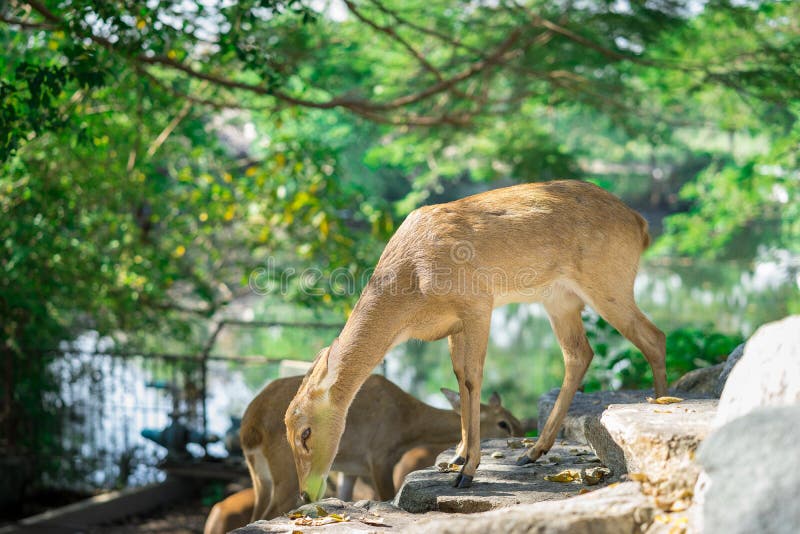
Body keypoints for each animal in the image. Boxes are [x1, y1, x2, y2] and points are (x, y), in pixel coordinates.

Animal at [241, 373, 522, 520]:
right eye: (503, 423)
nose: (520, 437)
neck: (406, 418)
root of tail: (251, 423)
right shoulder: (380, 459)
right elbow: (388, 496)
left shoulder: (350, 470)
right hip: (287, 477)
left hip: (260, 478)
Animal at [285, 180, 667, 500]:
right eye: (285, 428)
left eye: (305, 433)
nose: (306, 494)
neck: (414, 284)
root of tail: (641, 225)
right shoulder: (454, 325)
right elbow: (459, 378)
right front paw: (457, 456)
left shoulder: (478, 305)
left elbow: (472, 377)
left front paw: (467, 472)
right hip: (560, 298)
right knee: (579, 353)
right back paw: (532, 452)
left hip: (608, 284)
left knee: (654, 336)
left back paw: (663, 406)